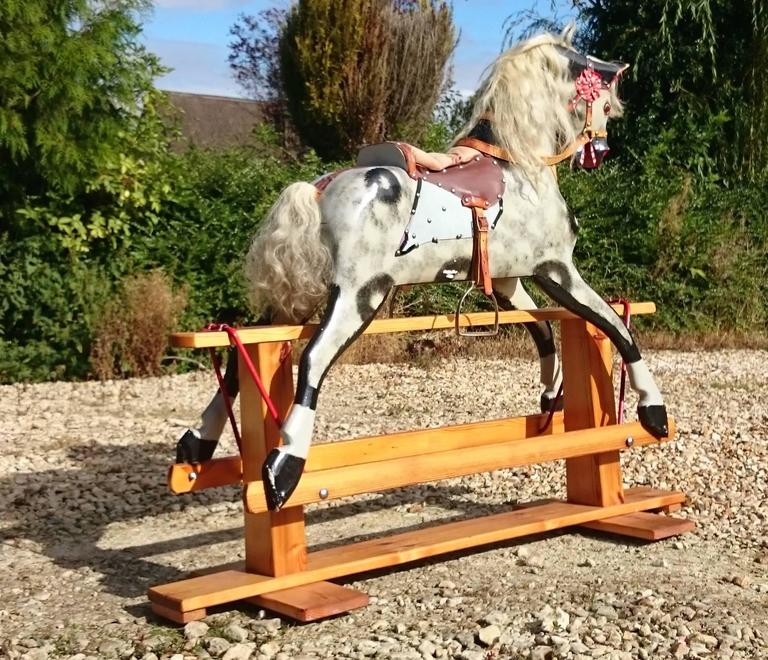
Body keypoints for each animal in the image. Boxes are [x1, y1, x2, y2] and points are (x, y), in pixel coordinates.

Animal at [177, 27, 669, 512]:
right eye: (604, 101)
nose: (599, 149)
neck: (520, 166)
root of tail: (320, 190)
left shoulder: (509, 279)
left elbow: (543, 331)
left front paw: (551, 397)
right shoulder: (557, 268)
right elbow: (616, 327)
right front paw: (654, 411)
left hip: (299, 297)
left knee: (241, 356)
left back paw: (196, 443)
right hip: (359, 292)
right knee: (313, 358)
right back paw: (283, 469)